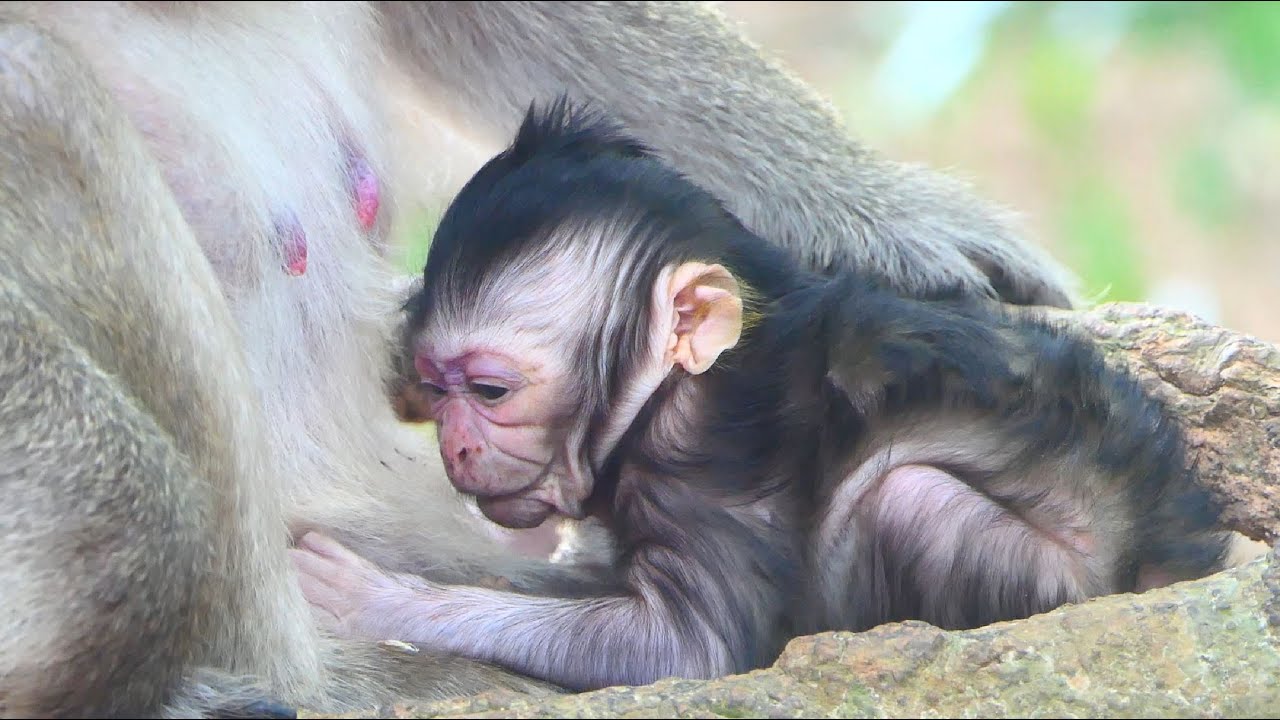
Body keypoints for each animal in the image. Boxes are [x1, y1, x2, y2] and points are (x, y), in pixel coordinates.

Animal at [291, 98, 1246, 693]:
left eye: (488, 390)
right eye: (431, 387)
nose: (455, 447)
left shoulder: (705, 453)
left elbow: (690, 648)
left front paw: (378, 596)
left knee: (908, 495)